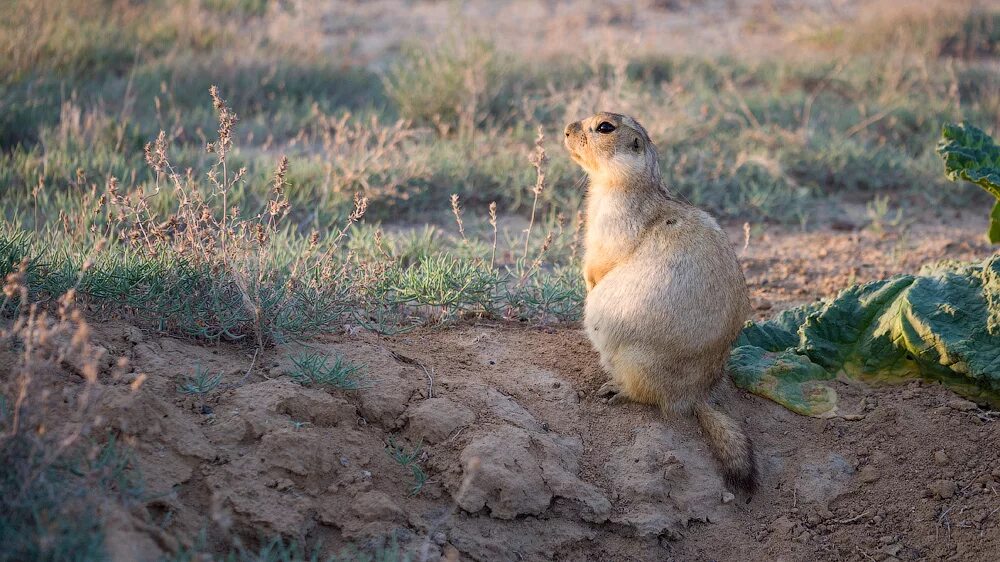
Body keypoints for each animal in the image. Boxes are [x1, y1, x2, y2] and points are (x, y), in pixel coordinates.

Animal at [568, 111, 752, 492]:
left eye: (605, 127)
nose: (565, 130)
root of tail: (696, 395)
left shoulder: (614, 220)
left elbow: (601, 259)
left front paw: (590, 282)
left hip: (635, 361)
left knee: (648, 397)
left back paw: (615, 391)